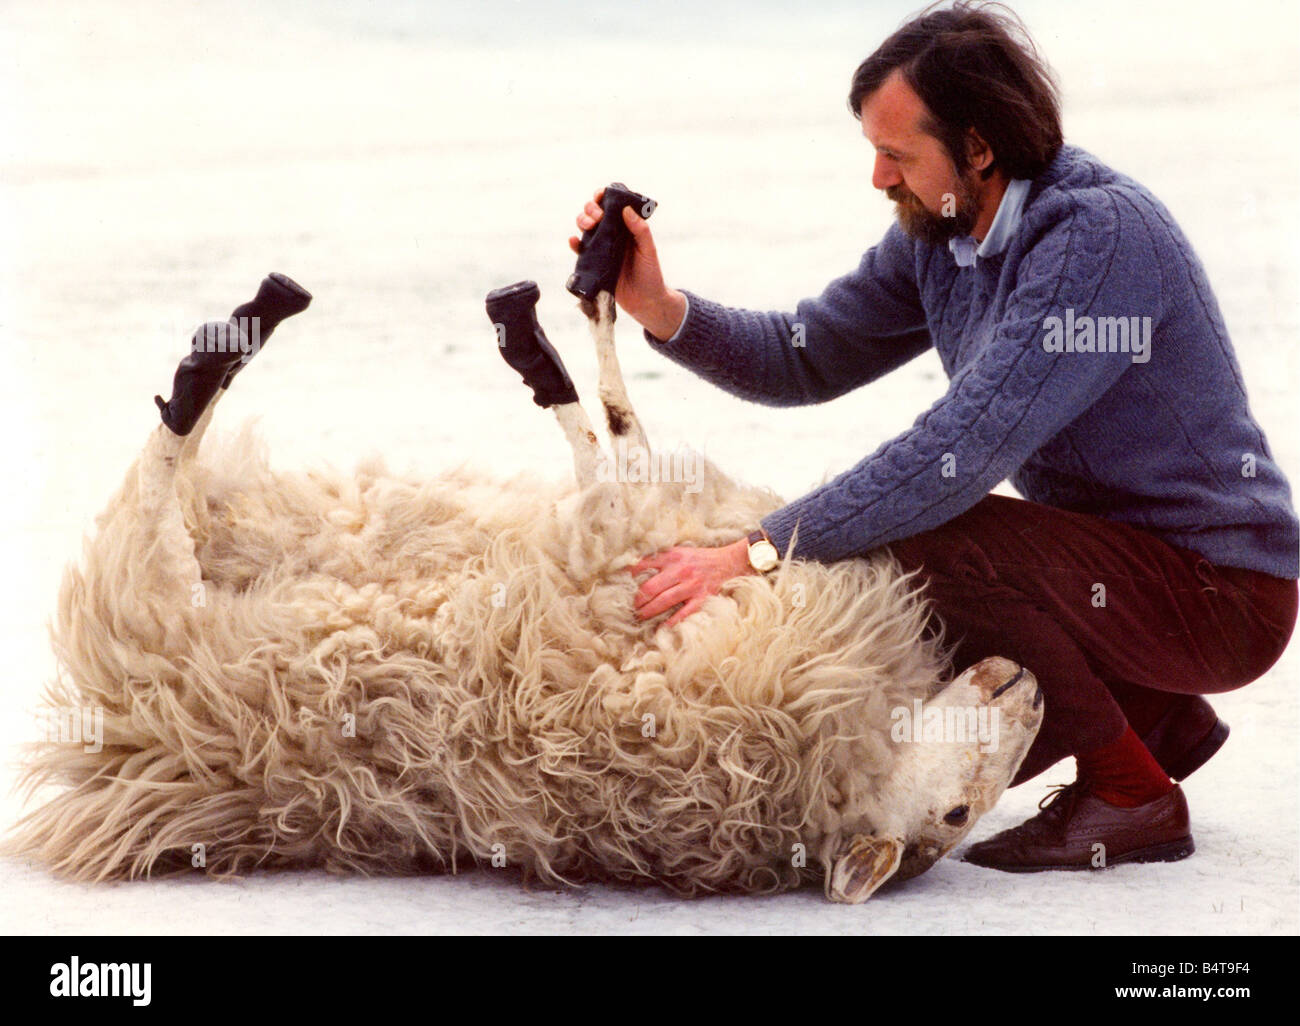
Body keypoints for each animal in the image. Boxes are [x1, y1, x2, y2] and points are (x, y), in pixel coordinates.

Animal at [6, 272, 1042, 903]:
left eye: (956, 819)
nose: (1029, 687)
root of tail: (116, 745)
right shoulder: (644, 547)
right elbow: (615, 421)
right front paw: (584, 299)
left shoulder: (617, 559)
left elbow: (605, 437)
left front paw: (539, 342)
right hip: (200, 549)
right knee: (171, 468)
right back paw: (246, 330)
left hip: (158, 603)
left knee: (159, 478)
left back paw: (238, 341)